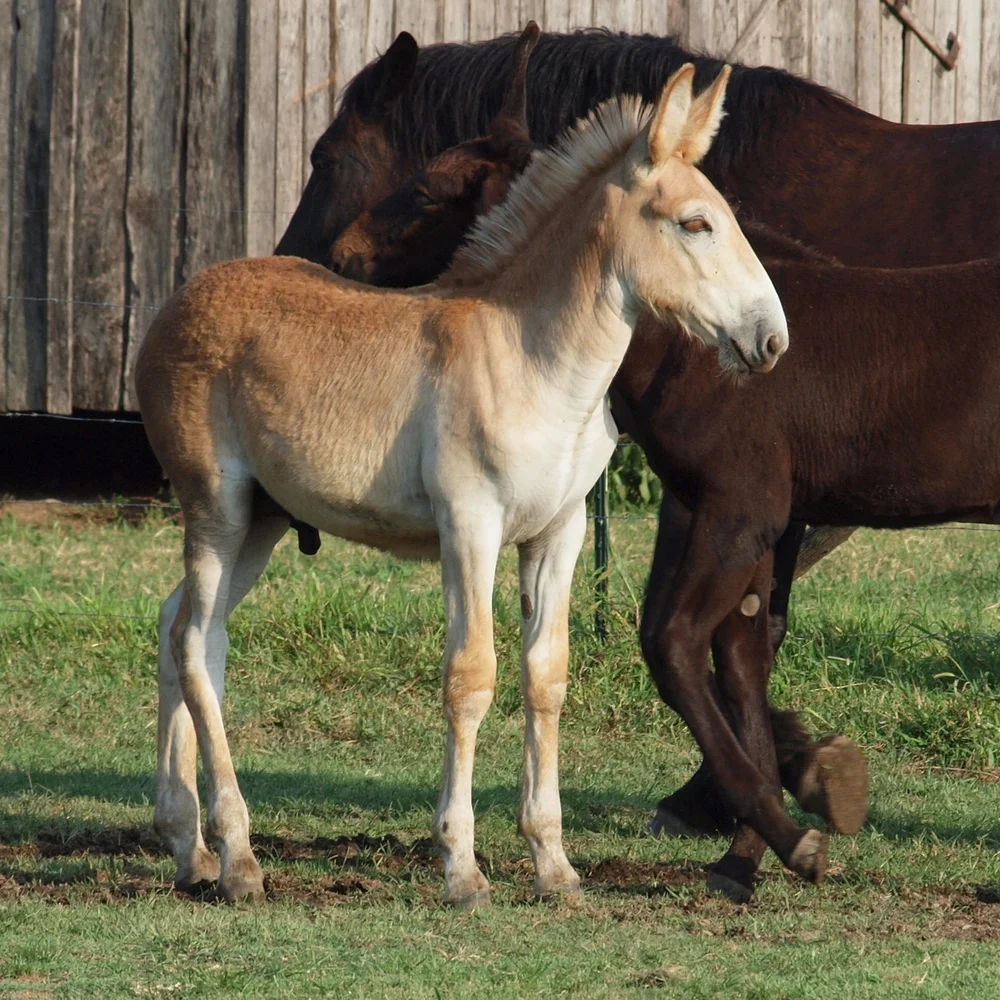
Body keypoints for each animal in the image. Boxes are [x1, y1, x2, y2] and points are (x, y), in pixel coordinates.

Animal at [135, 66, 793, 906]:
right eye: (695, 224)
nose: (771, 339)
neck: (534, 361)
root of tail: (175, 305)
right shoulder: (470, 525)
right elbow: (471, 676)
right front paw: (462, 864)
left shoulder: (559, 533)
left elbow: (546, 677)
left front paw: (554, 865)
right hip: (216, 507)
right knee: (197, 643)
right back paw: (239, 856)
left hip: (263, 520)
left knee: (181, 630)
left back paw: (189, 845)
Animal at [275, 27, 1000, 839]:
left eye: (425, 189)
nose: (340, 257)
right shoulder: (748, 513)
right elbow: (742, 643)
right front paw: (772, 787)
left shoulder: (734, 507)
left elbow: (688, 638)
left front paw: (751, 797)